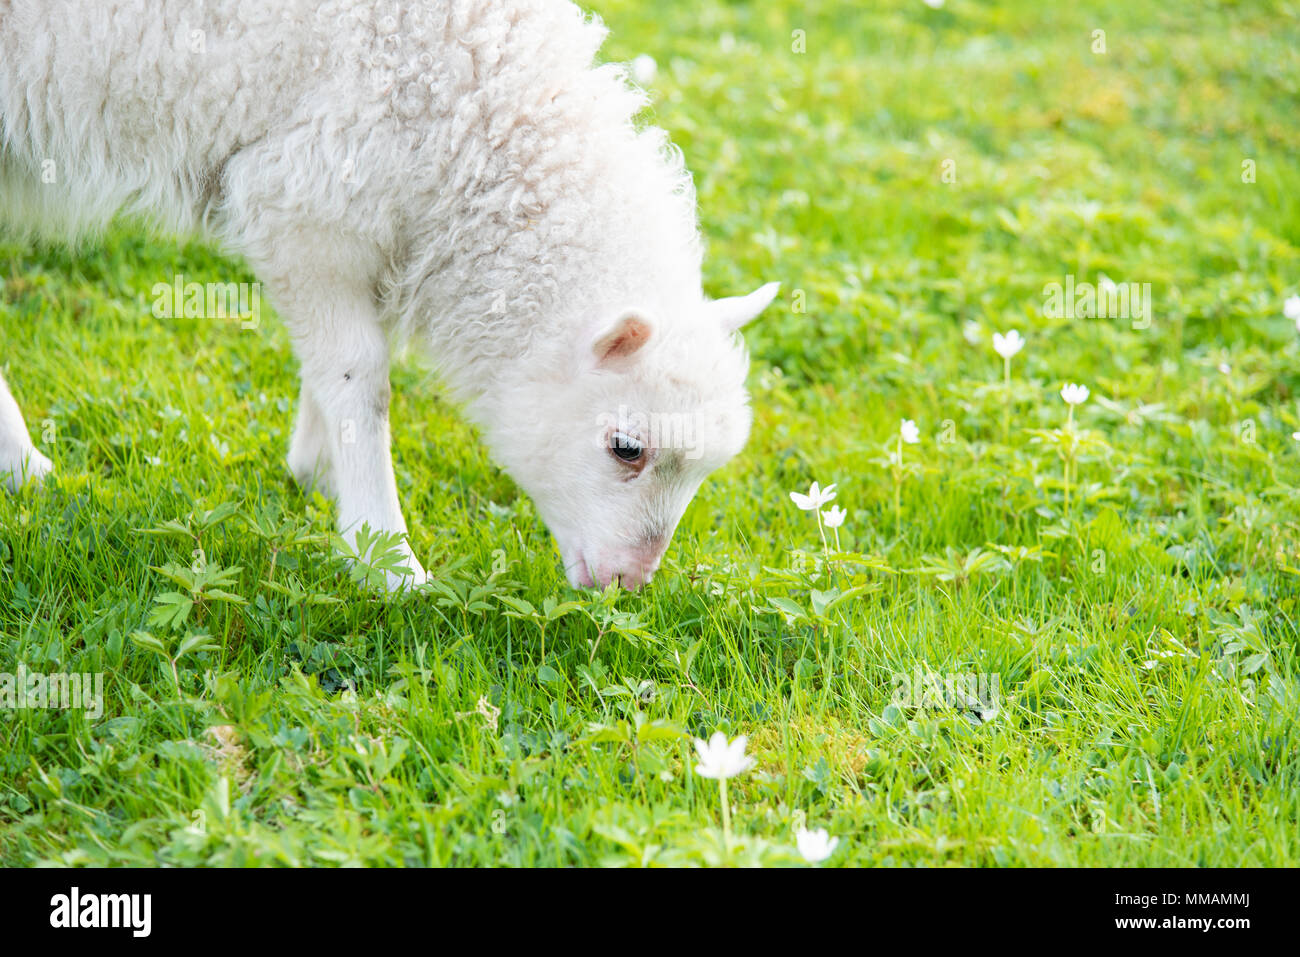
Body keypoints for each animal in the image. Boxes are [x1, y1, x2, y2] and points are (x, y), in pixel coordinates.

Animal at [0, 0, 778, 589]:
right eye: (626, 448)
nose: (628, 583)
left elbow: (334, 364)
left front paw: (318, 471)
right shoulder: (303, 199)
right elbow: (359, 373)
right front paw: (385, 556)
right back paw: (26, 467)